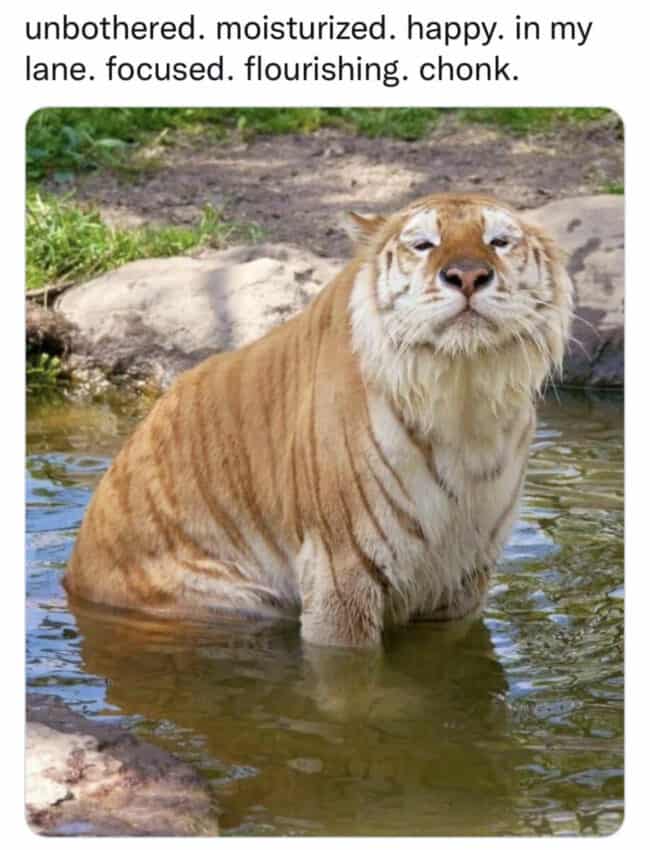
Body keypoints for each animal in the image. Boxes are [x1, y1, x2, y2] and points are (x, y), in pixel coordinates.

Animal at [64, 193, 573, 647]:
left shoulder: (461, 579)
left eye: (499, 242)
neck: (462, 394)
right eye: (424, 244)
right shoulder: (344, 567)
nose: (467, 275)